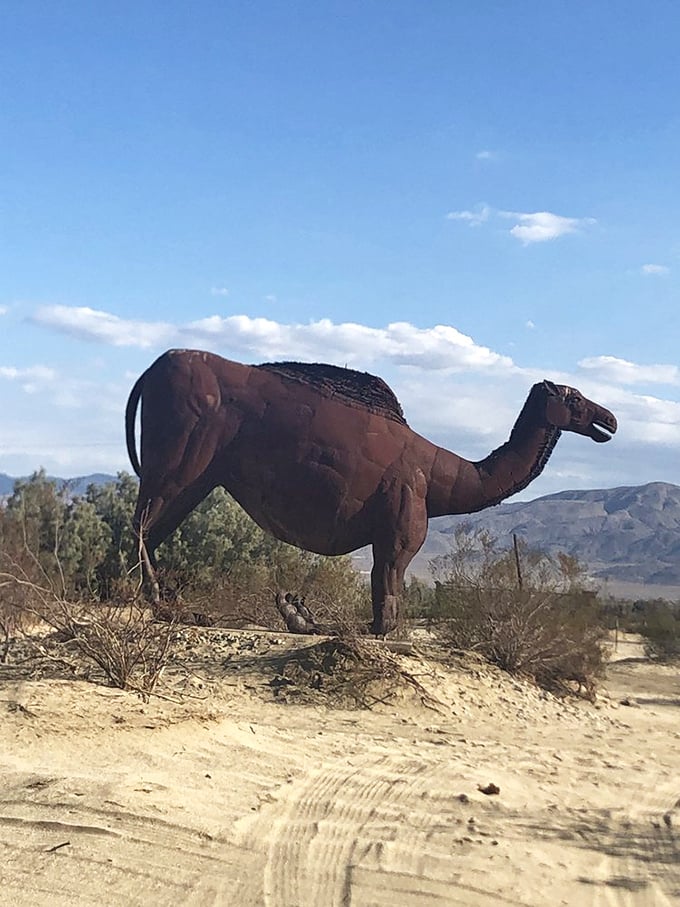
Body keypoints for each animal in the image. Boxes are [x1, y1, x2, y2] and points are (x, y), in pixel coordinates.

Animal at [125, 349, 617, 635]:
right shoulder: (402, 526)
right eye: (574, 399)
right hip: (181, 458)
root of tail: (153, 366)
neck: (445, 478)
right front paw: (302, 615)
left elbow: (380, 603)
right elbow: (385, 603)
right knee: (142, 524)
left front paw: (298, 611)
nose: (609, 419)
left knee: (150, 528)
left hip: (198, 474)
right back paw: (168, 608)